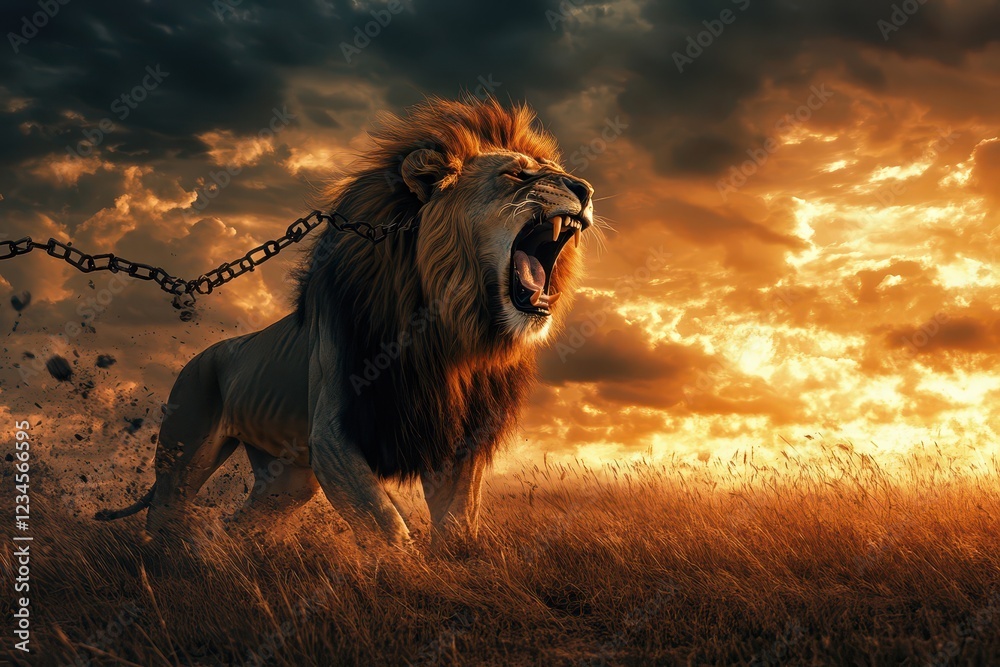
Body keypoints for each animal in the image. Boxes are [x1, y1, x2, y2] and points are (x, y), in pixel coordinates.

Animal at [96, 98, 595, 550]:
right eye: (517, 174)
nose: (586, 189)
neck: (447, 330)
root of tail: (200, 356)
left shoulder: (454, 437)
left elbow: (457, 526)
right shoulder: (332, 434)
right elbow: (388, 527)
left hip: (287, 480)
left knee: (239, 523)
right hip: (184, 447)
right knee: (165, 511)